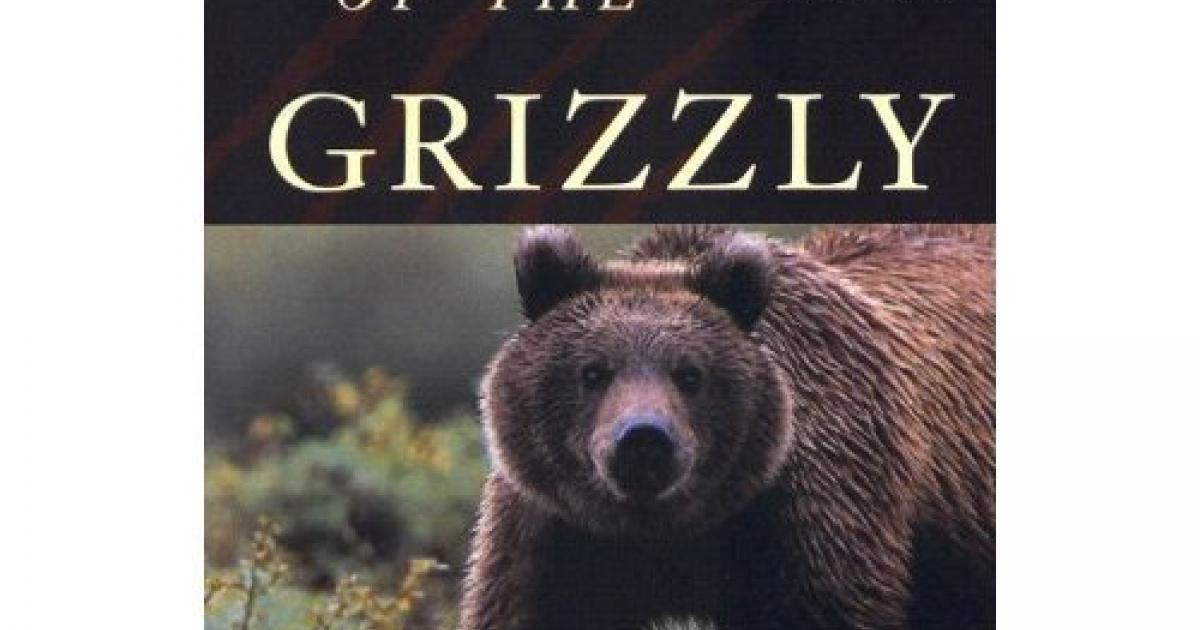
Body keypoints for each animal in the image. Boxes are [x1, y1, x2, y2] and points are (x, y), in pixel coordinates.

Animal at [461, 225, 995, 630]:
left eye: (690, 374)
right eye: (593, 372)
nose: (644, 441)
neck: (668, 530)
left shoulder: (819, 511)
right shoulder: (555, 530)